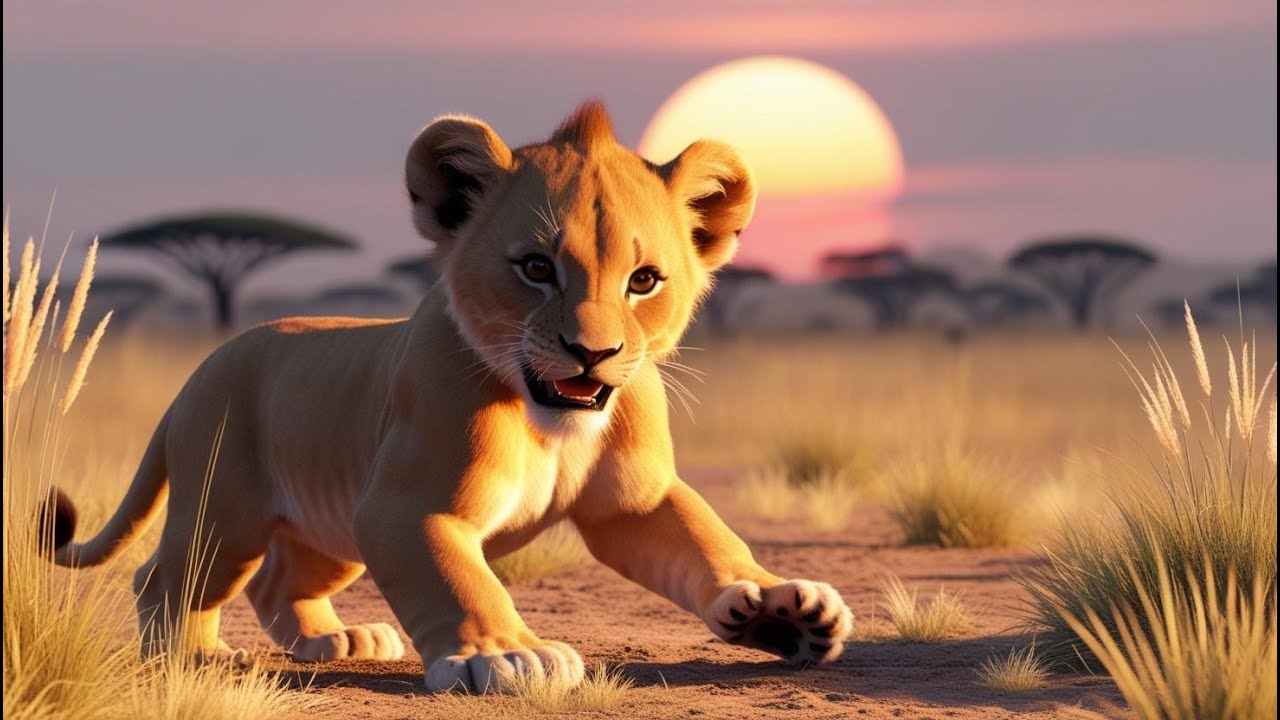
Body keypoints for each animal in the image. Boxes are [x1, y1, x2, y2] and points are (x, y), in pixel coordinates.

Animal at [44, 101, 855, 692]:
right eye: (536, 268)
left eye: (644, 280)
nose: (593, 353)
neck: (550, 421)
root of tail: (204, 366)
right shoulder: (405, 506)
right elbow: (461, 579)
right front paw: (503, 655)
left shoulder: (635, 501)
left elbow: (707, 541)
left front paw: (781, 609)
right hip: (229, 508)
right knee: (165, 576)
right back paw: (196, 655)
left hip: (327, 520)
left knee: (279, 580)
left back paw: (334, 638)